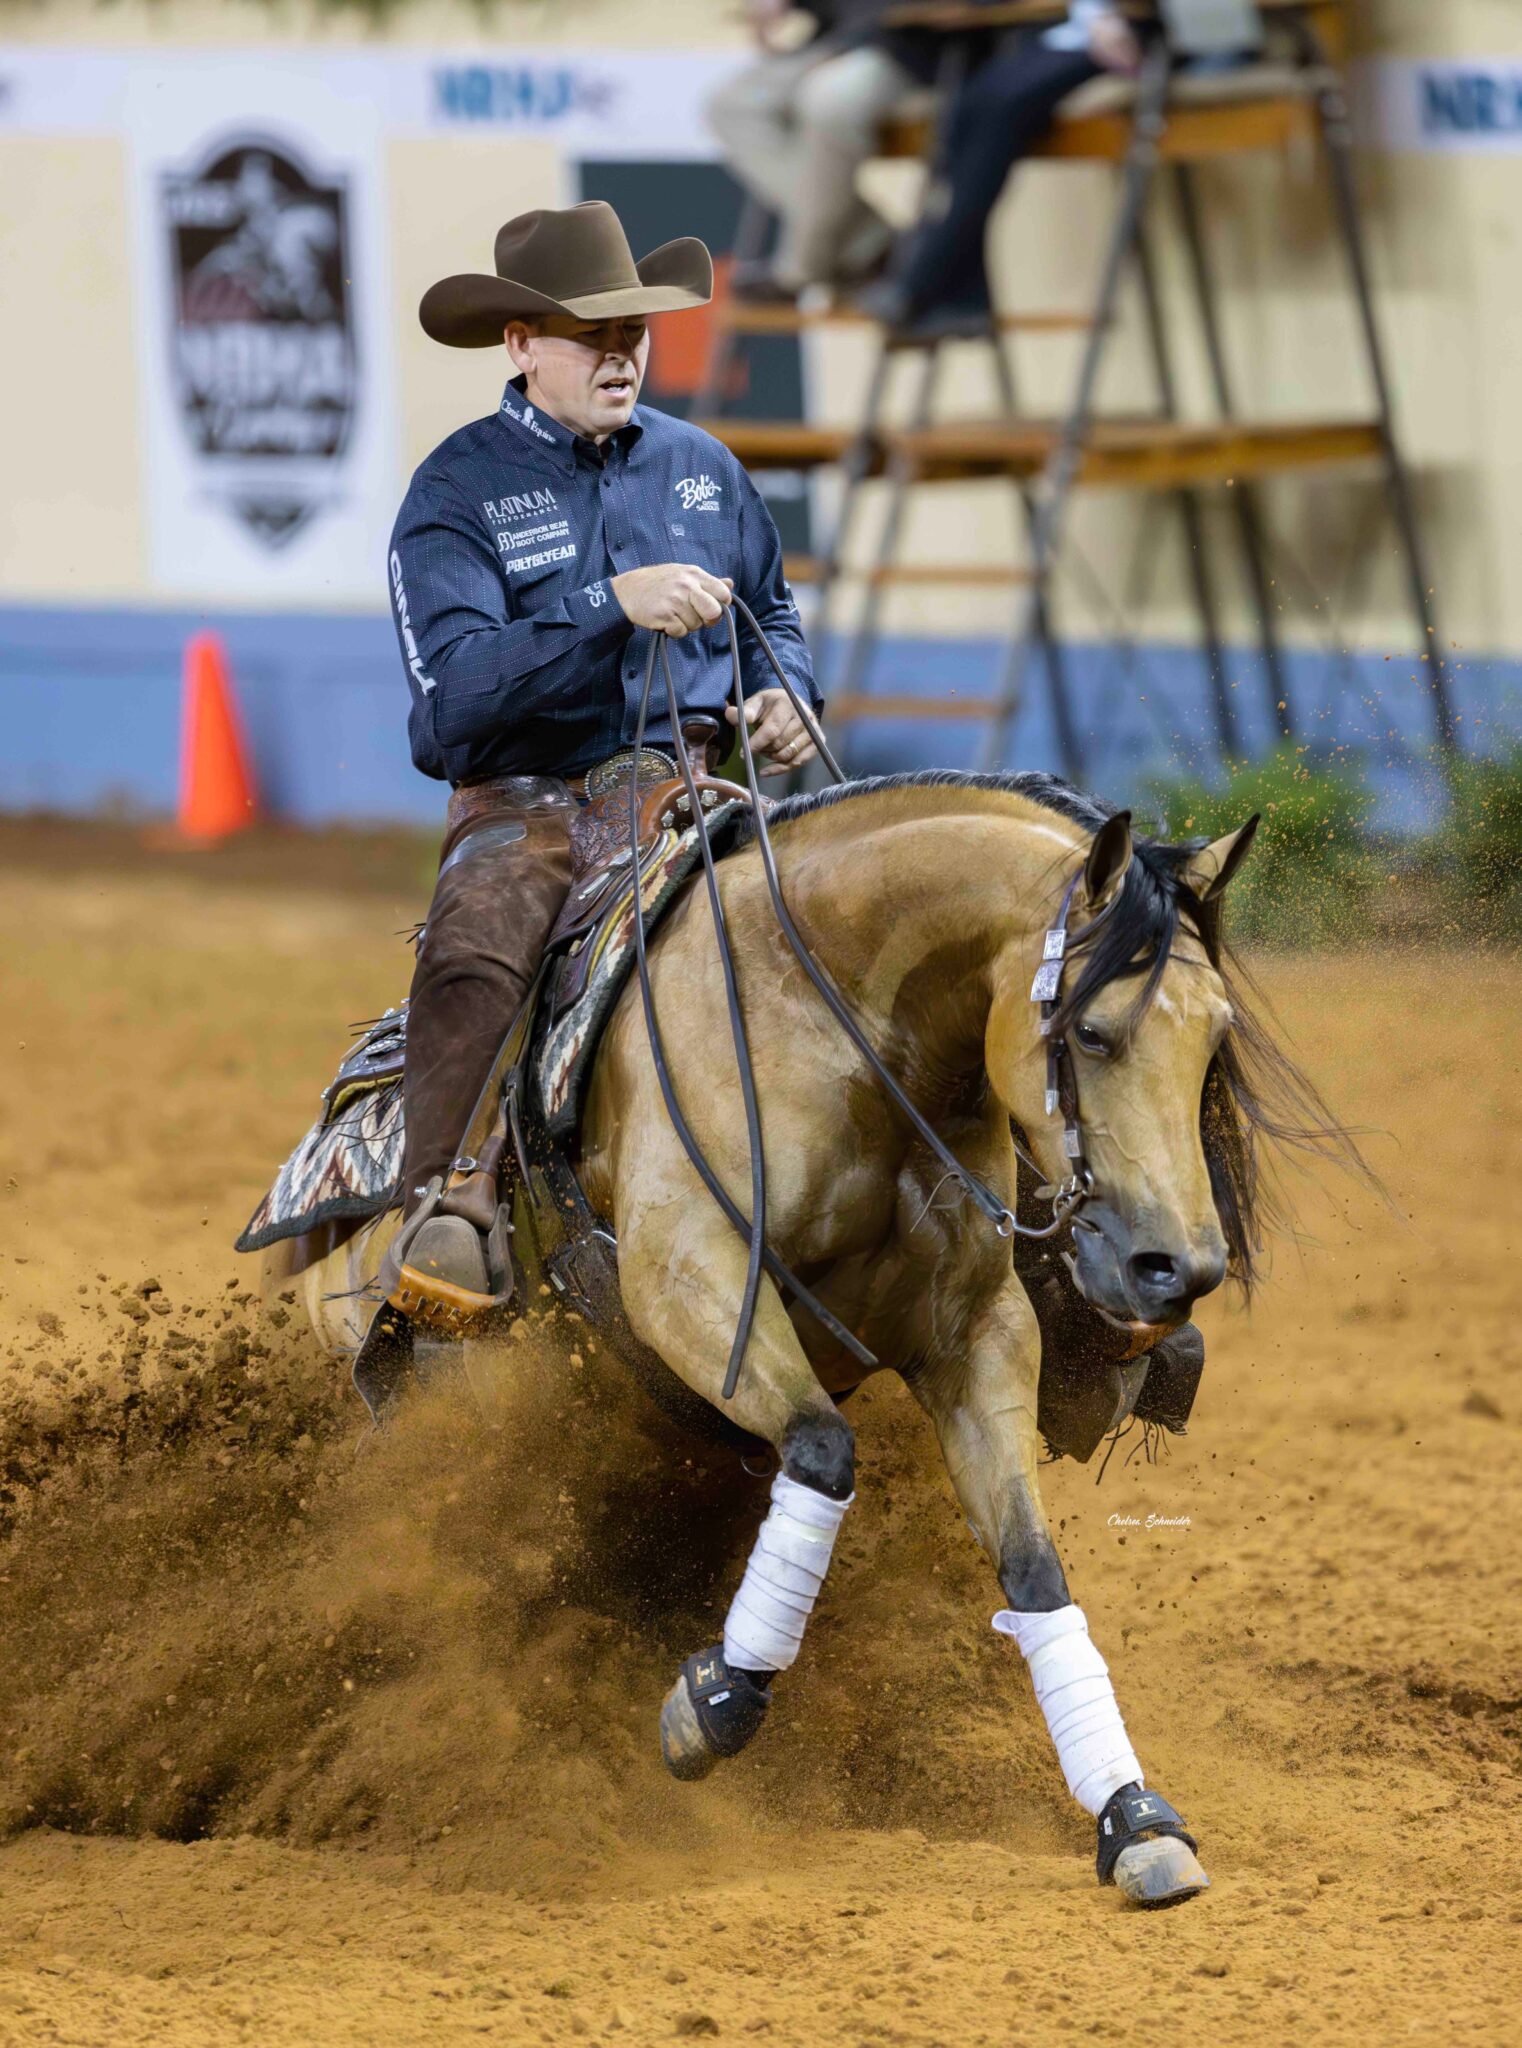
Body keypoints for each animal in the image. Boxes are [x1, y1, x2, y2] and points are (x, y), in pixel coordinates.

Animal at [277, 768, 1339, 1908]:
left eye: (1213, 1038)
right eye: (1092, 1033)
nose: (1178, 1270)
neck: (836, 1029)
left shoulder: (978, 1333)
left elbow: (1033, 1570)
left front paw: (1133, 1816)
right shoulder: (688, 1281)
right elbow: (825, 1450)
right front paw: (714, 1699)